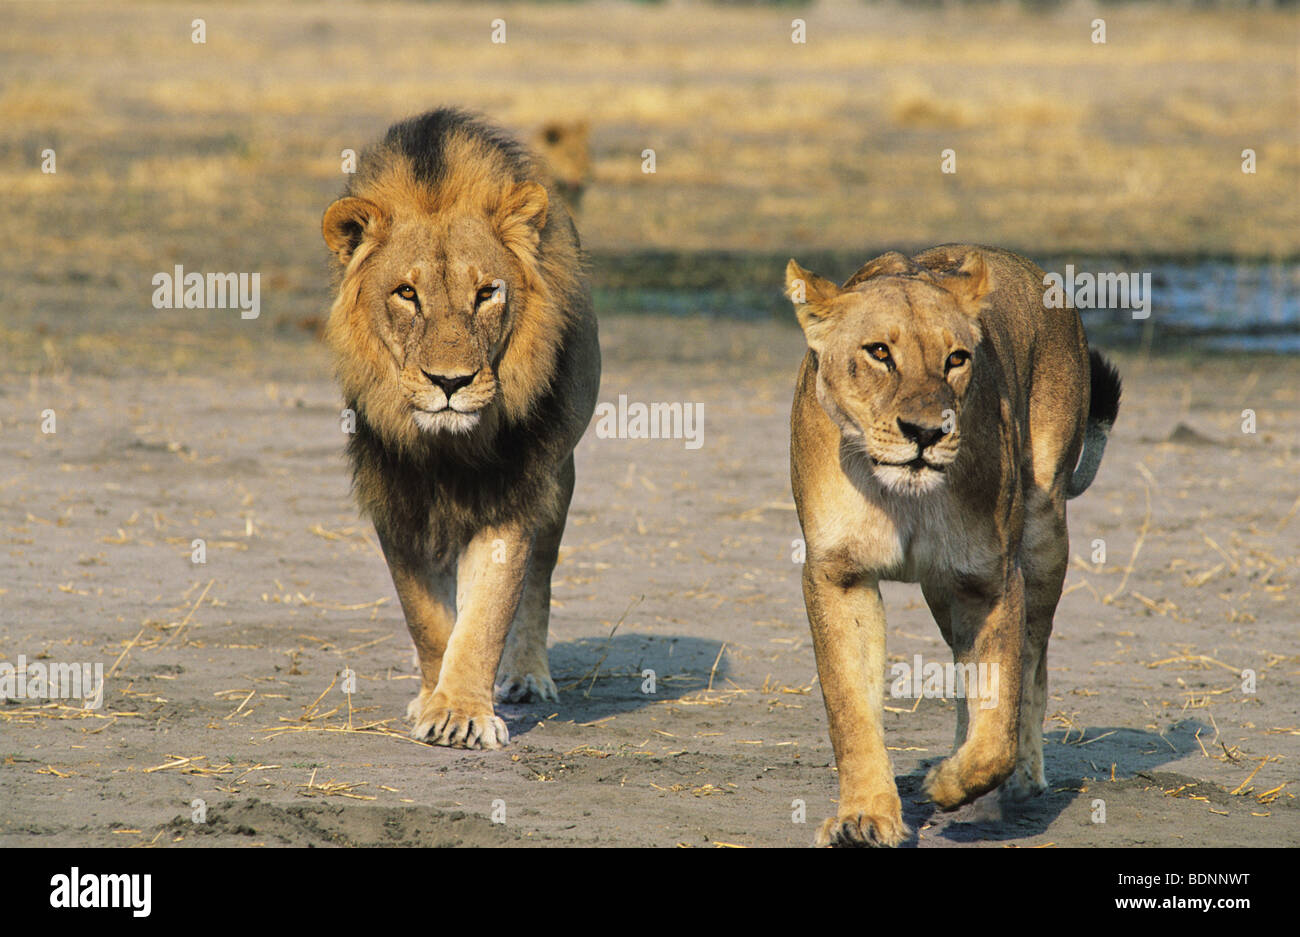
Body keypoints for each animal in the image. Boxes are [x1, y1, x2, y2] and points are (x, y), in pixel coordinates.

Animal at [321, 108, 600, 749]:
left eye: (486, 292)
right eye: (406, 293)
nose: (450, 382)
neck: (448, 447)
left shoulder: (513, 491)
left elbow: (489, 612)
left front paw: (462, 713)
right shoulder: (394, 494)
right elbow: (426, 618)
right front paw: (433, 697)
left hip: (560, 479)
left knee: (538, 581)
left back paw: (526, 676)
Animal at [784, 245, 1121, 846]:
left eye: (957, 359)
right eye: (879, 352)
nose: (926, 432)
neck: (901, 497)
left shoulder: (992, 576)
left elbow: (1000, 716)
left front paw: (947, 783)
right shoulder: (839, 573)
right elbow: (850, 707)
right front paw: (864, 817)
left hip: (1043, 531)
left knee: (1031, 663)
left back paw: (1018, 782)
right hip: (946, 590)